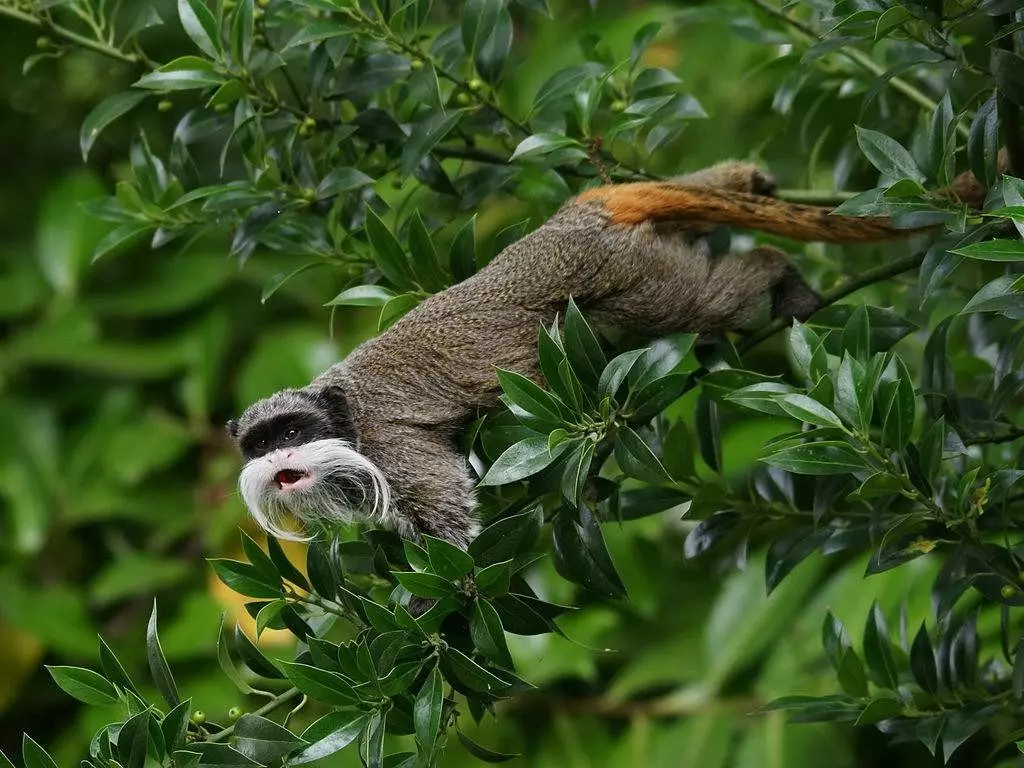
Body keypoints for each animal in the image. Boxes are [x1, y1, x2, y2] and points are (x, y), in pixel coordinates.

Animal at [228, 160, 933, 548]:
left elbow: (448, 514)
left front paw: (436, 608)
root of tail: (574, 219)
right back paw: (748, 181)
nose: (281, 458)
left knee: (696, 303)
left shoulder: (384, 439)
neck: (339, 412)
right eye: (261, 444)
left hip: (617, 269)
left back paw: (779, 275)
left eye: (292, 432)